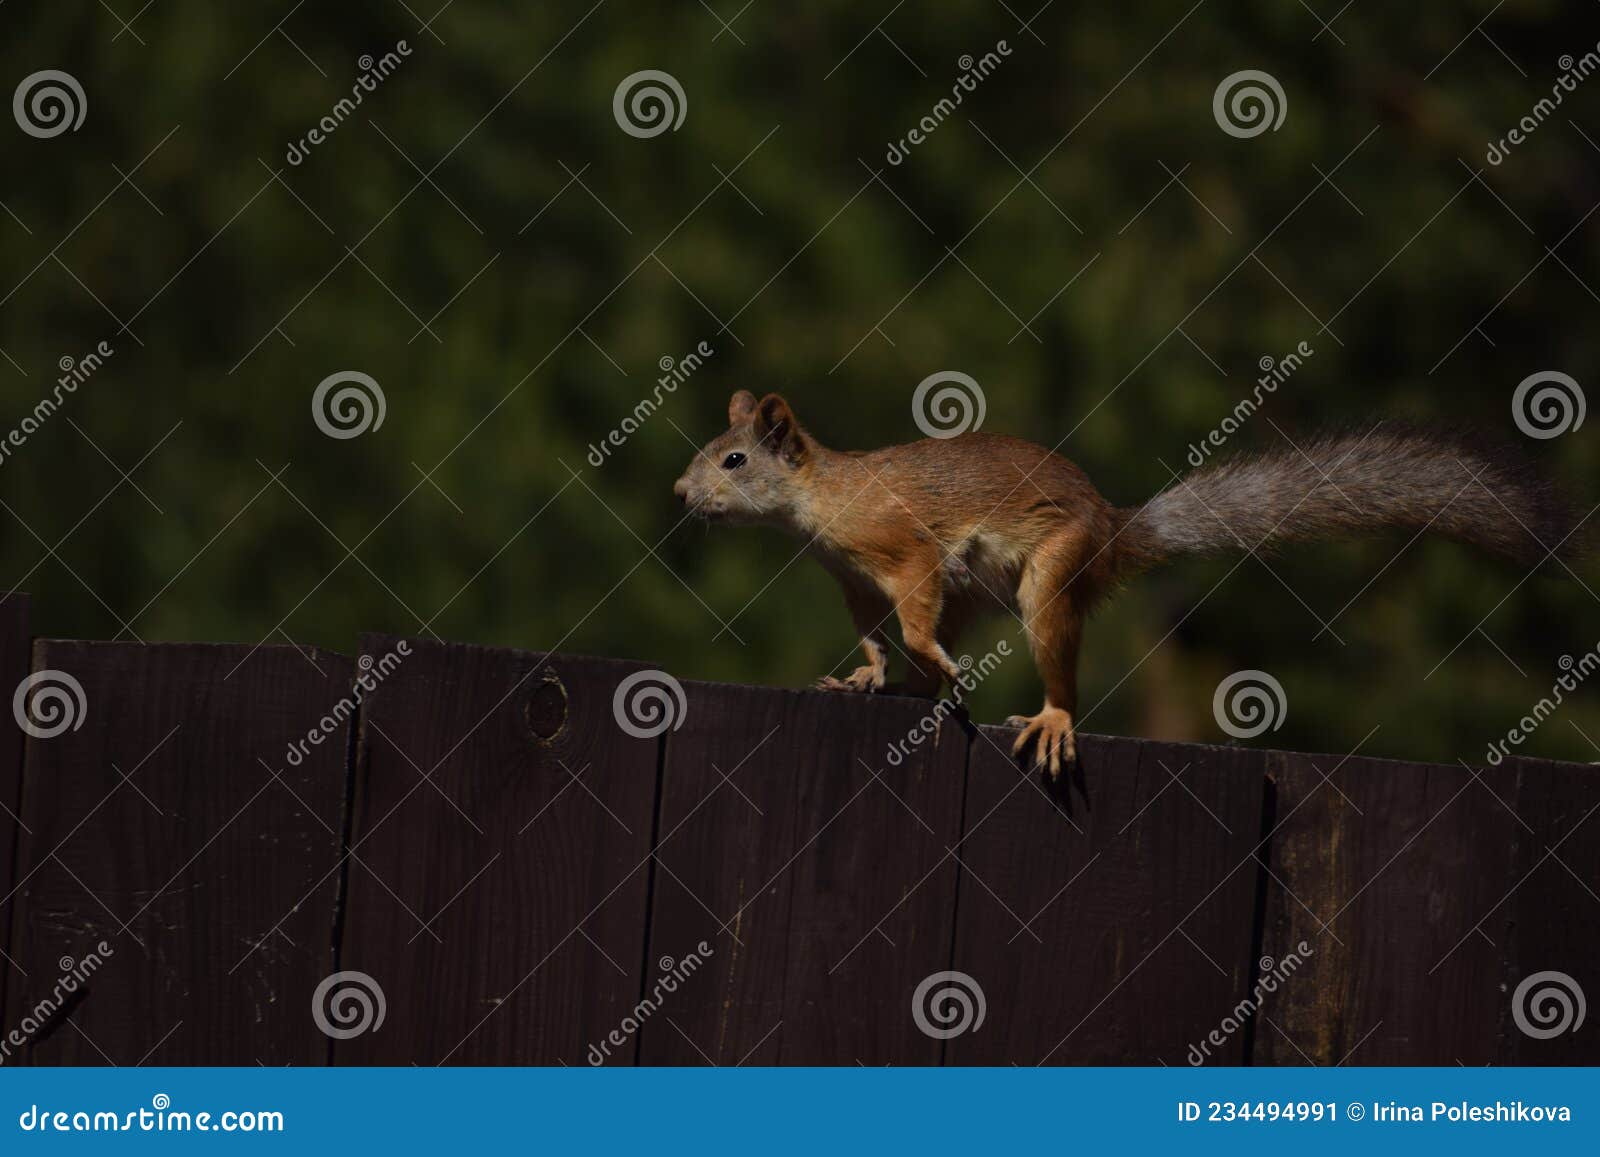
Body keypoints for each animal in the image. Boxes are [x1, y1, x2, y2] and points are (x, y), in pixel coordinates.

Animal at [673, 390, 1579, 778]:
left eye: (735, 459)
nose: (682, 494)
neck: (821, 498)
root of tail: (1113, 530)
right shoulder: (855, 581)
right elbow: (872, 636)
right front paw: (864, 676)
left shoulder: (905, 553)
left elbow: (914, 614)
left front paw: (917, 654)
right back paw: (925, 688)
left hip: (1051, 576)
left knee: (1049, 657)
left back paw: (1047, 715)